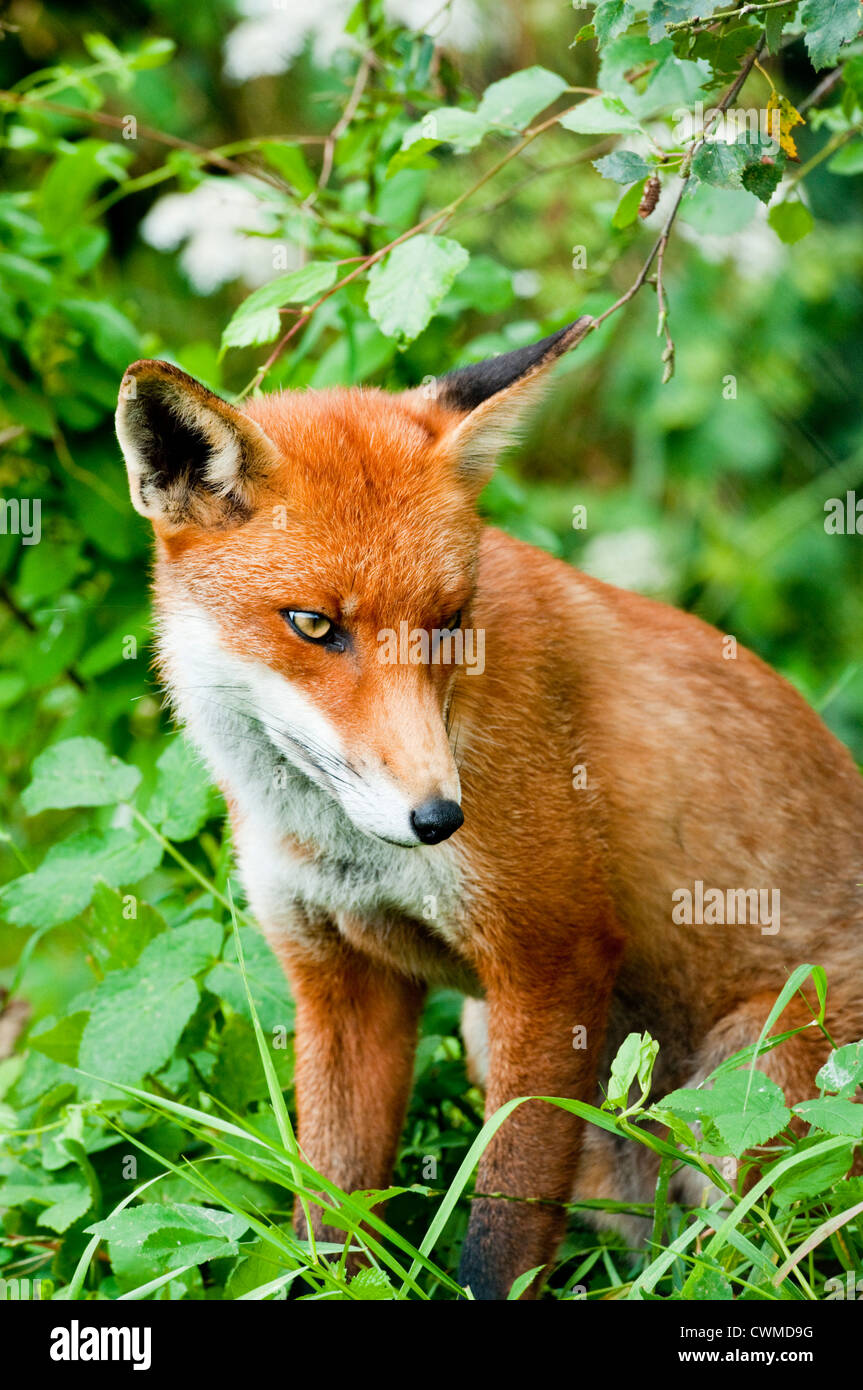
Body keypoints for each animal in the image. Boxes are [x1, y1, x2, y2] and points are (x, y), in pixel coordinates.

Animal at [115, 321, 863, 1300]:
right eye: (313, 625)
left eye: (447, 621)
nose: (439, 819)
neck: (339, 848)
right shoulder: (337, 979)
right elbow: (330, 1215)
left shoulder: (552, 958)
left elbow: (502, 1228)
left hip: (756, 1090)